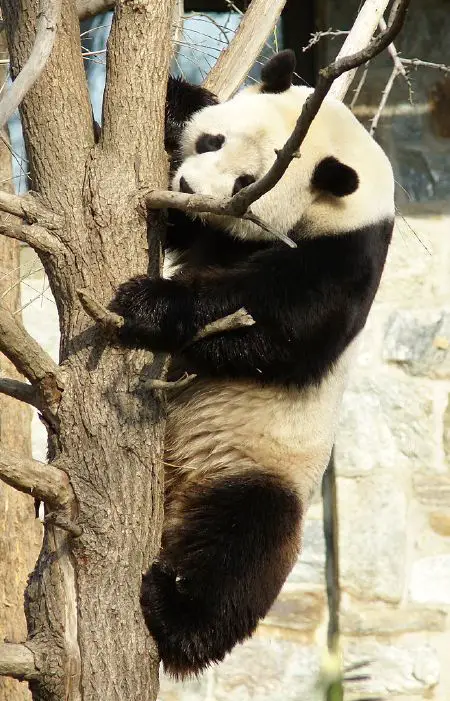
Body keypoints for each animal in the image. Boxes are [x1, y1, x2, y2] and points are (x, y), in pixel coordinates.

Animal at [112, 50, 395, 678]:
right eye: (213, 140)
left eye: (248, 183)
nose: (188, 186)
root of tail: (177, 491)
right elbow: (183, 214)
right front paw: (175, 104)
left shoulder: (346, 255)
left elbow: (281, 329)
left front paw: (149, 303)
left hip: (263, 470)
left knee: (242, 548)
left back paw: (178, 617)